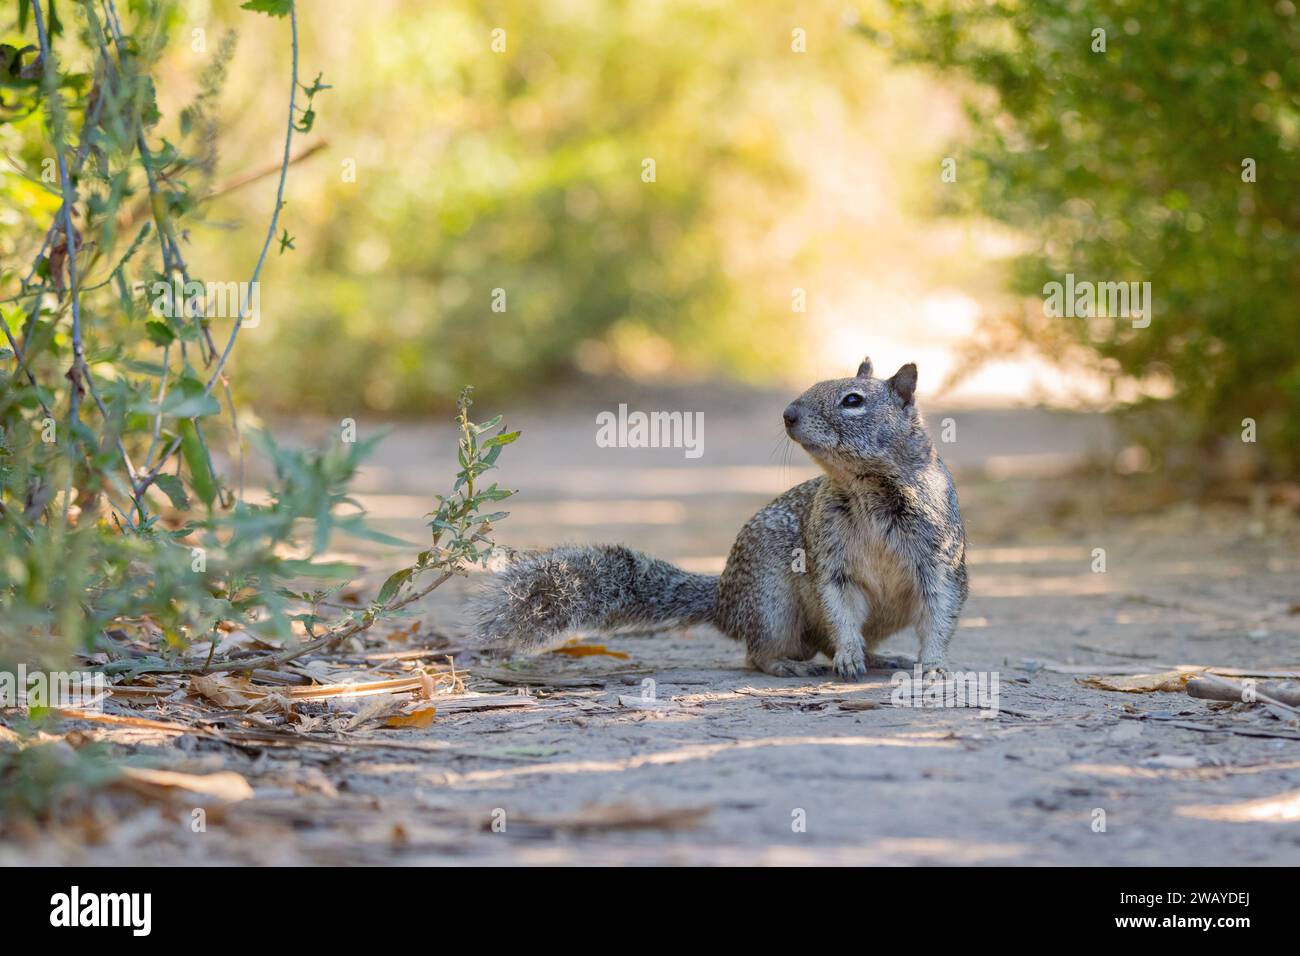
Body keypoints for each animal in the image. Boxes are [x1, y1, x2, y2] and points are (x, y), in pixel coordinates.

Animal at [473, 357, 968, 680]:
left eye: (852, 400)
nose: (788, 414)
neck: (864, 486)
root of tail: (725, 600)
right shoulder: (831, 559)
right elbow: (838, 607)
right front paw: (850, 655)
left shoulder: (940, 558)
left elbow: (941, 611)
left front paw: (934, 665)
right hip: (770, 601)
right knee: (758, 654)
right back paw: (788, 663)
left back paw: (881, 659)